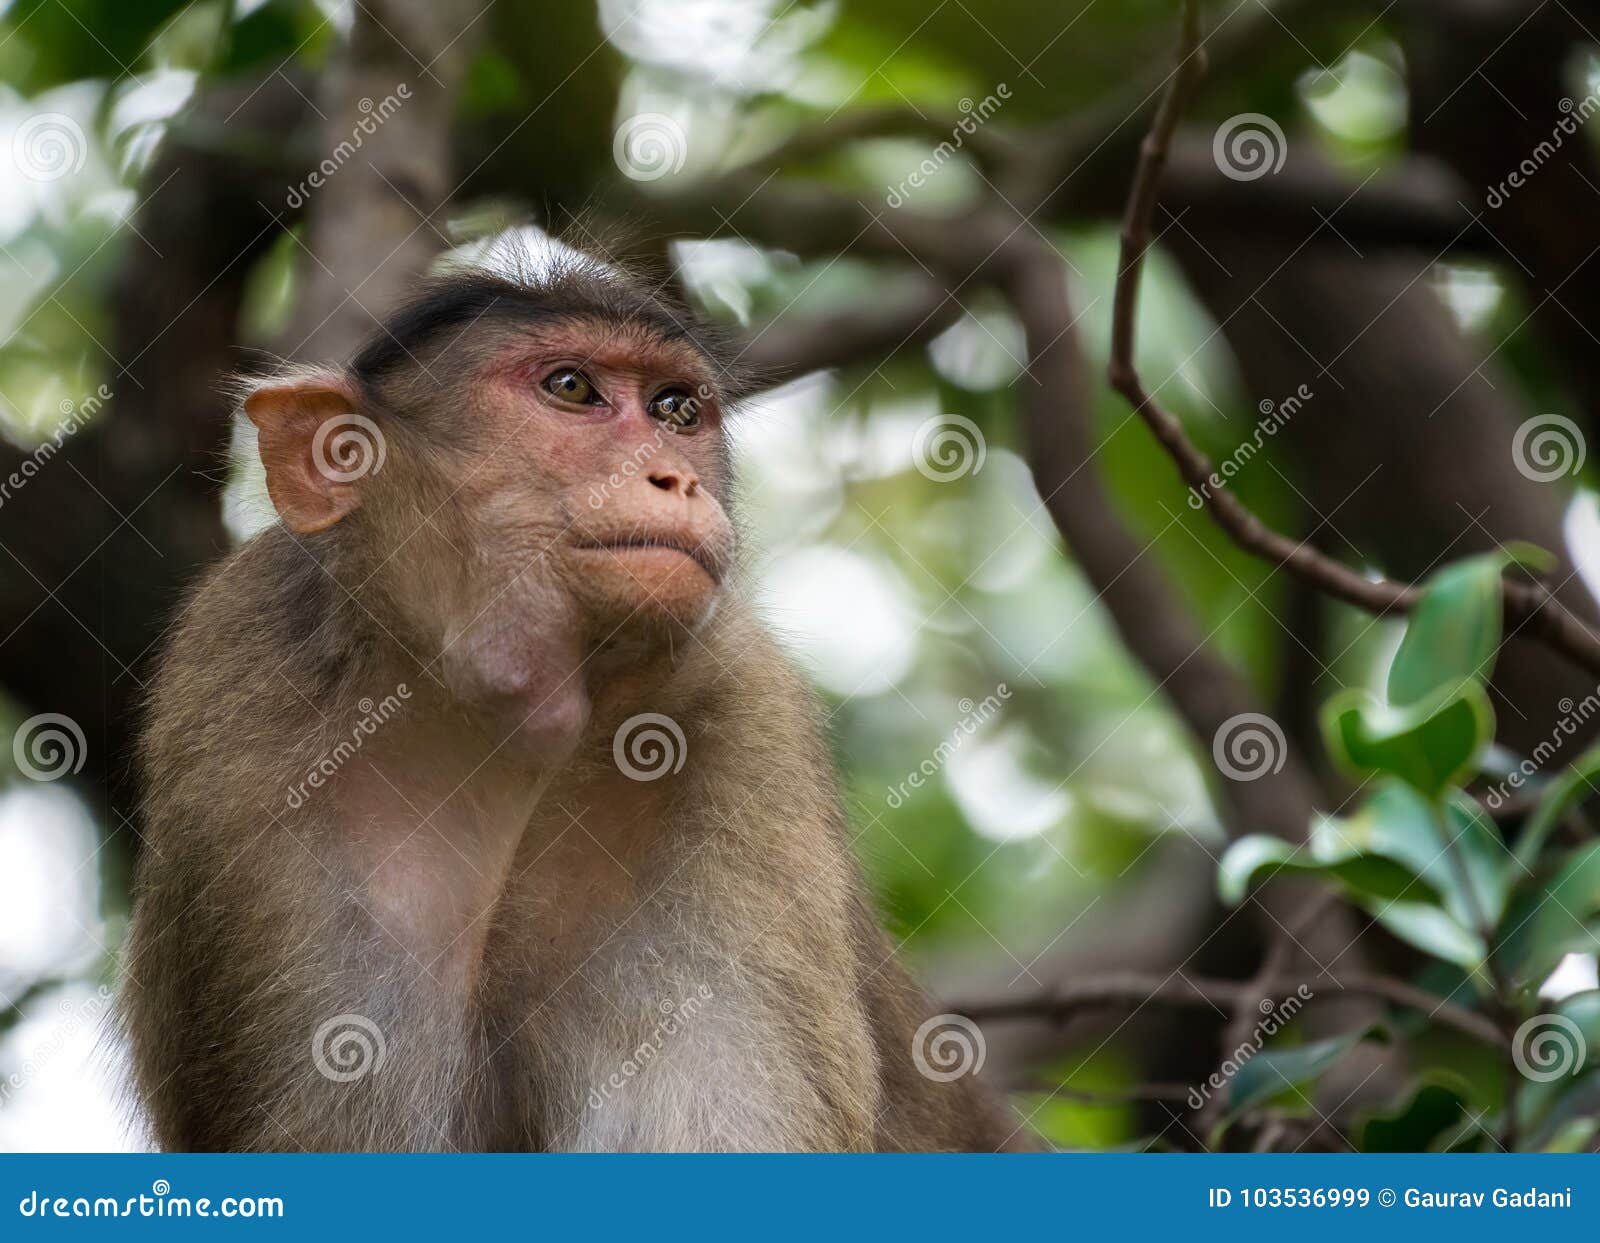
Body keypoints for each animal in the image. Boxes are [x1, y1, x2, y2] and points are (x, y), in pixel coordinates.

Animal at [120, 244, 1032, 1153]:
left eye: (675, 409)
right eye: (571, 388)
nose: (674, 478)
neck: (507, 733)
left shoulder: (741, 719)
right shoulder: (242, 707)